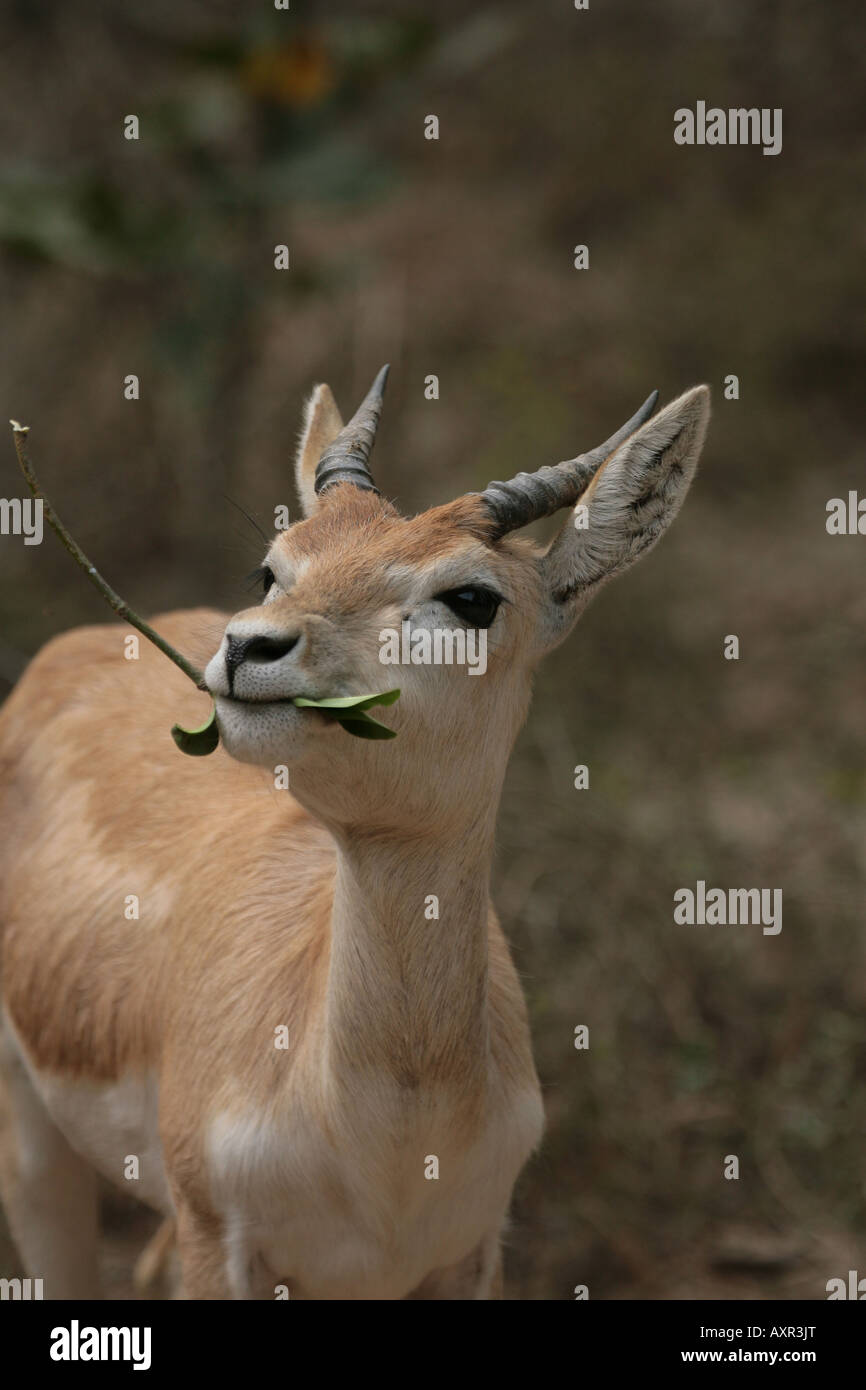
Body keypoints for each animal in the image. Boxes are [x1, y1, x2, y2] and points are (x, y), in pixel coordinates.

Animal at [0, 368, 709, 1299]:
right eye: (273, 566)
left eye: (473, 597)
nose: (248, 647)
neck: (389, 1130)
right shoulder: (216, 1240)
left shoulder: (467, 1257)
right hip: (32, 1145)